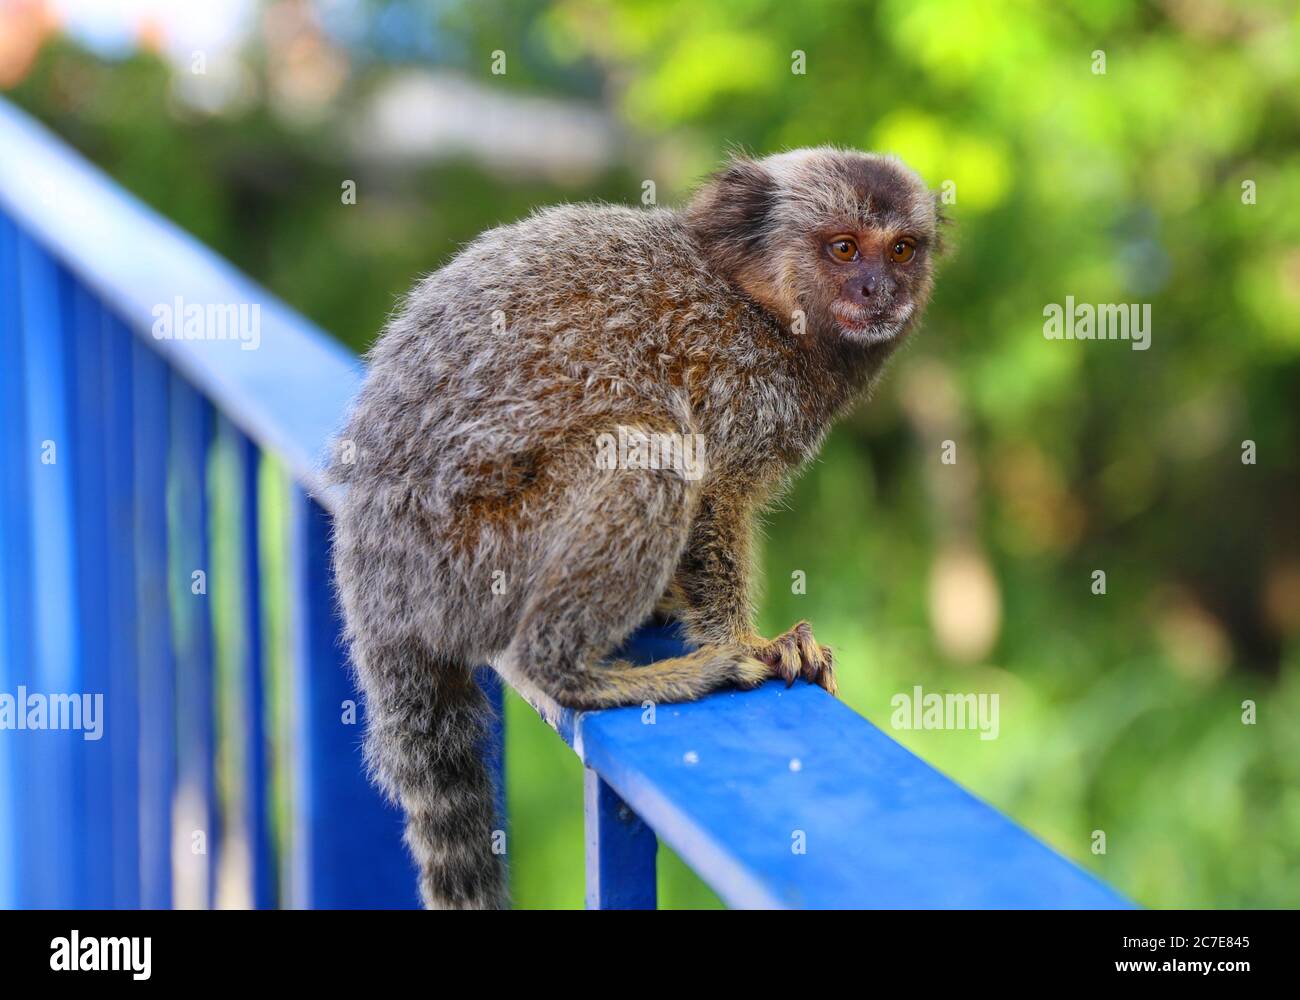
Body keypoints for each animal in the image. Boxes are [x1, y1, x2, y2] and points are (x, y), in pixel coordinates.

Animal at [327, 146, 944, 909]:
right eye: (844, 249)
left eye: (902, 249)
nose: (877, 289)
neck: (761, 309)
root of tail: (379, 588)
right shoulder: (735, 378)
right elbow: (710, 493)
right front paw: (750, 641)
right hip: (477, 558)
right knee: (651, 460)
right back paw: (592, 675)